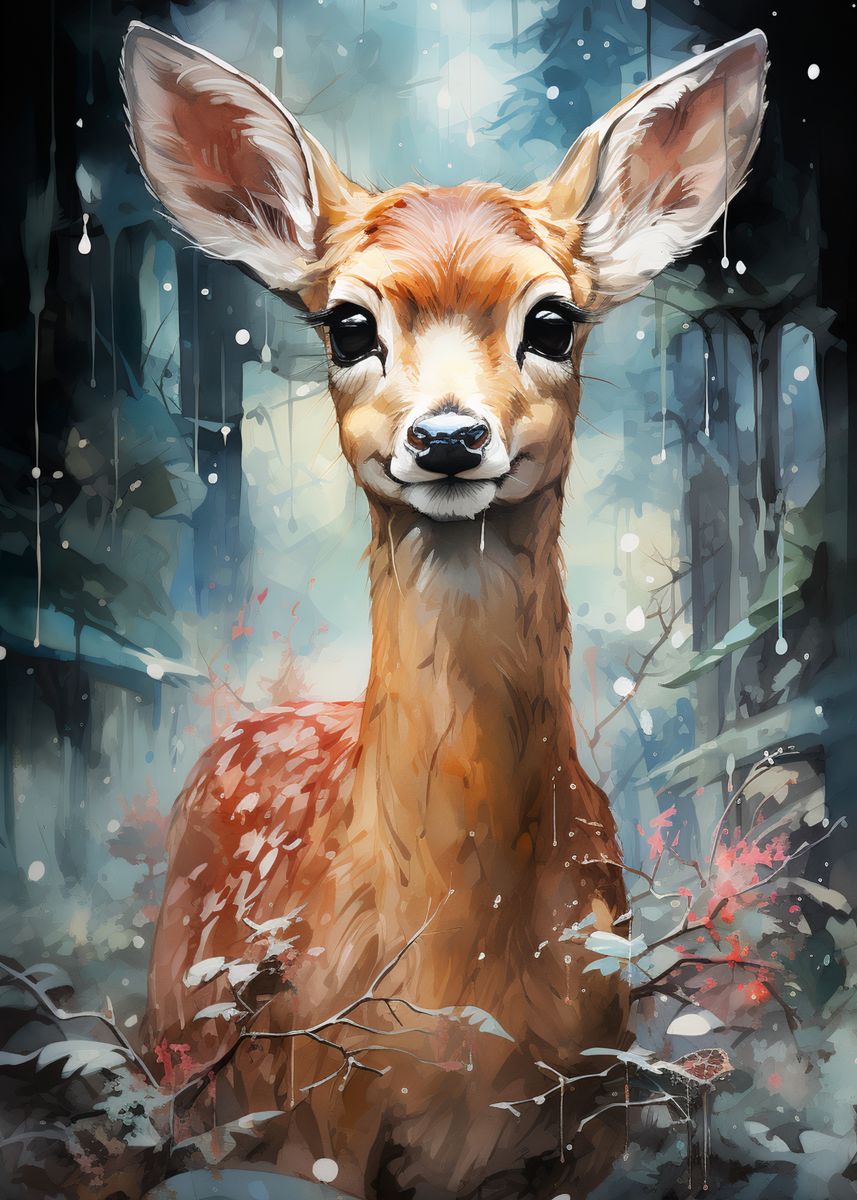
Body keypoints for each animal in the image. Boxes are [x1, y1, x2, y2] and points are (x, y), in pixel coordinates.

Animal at [123, 23, 767, 1200]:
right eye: (346, 324)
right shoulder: (318, 1117)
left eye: (552, 320)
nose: (450, 437)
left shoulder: (586, 1121)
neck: (459, 995)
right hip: (183, 1062)